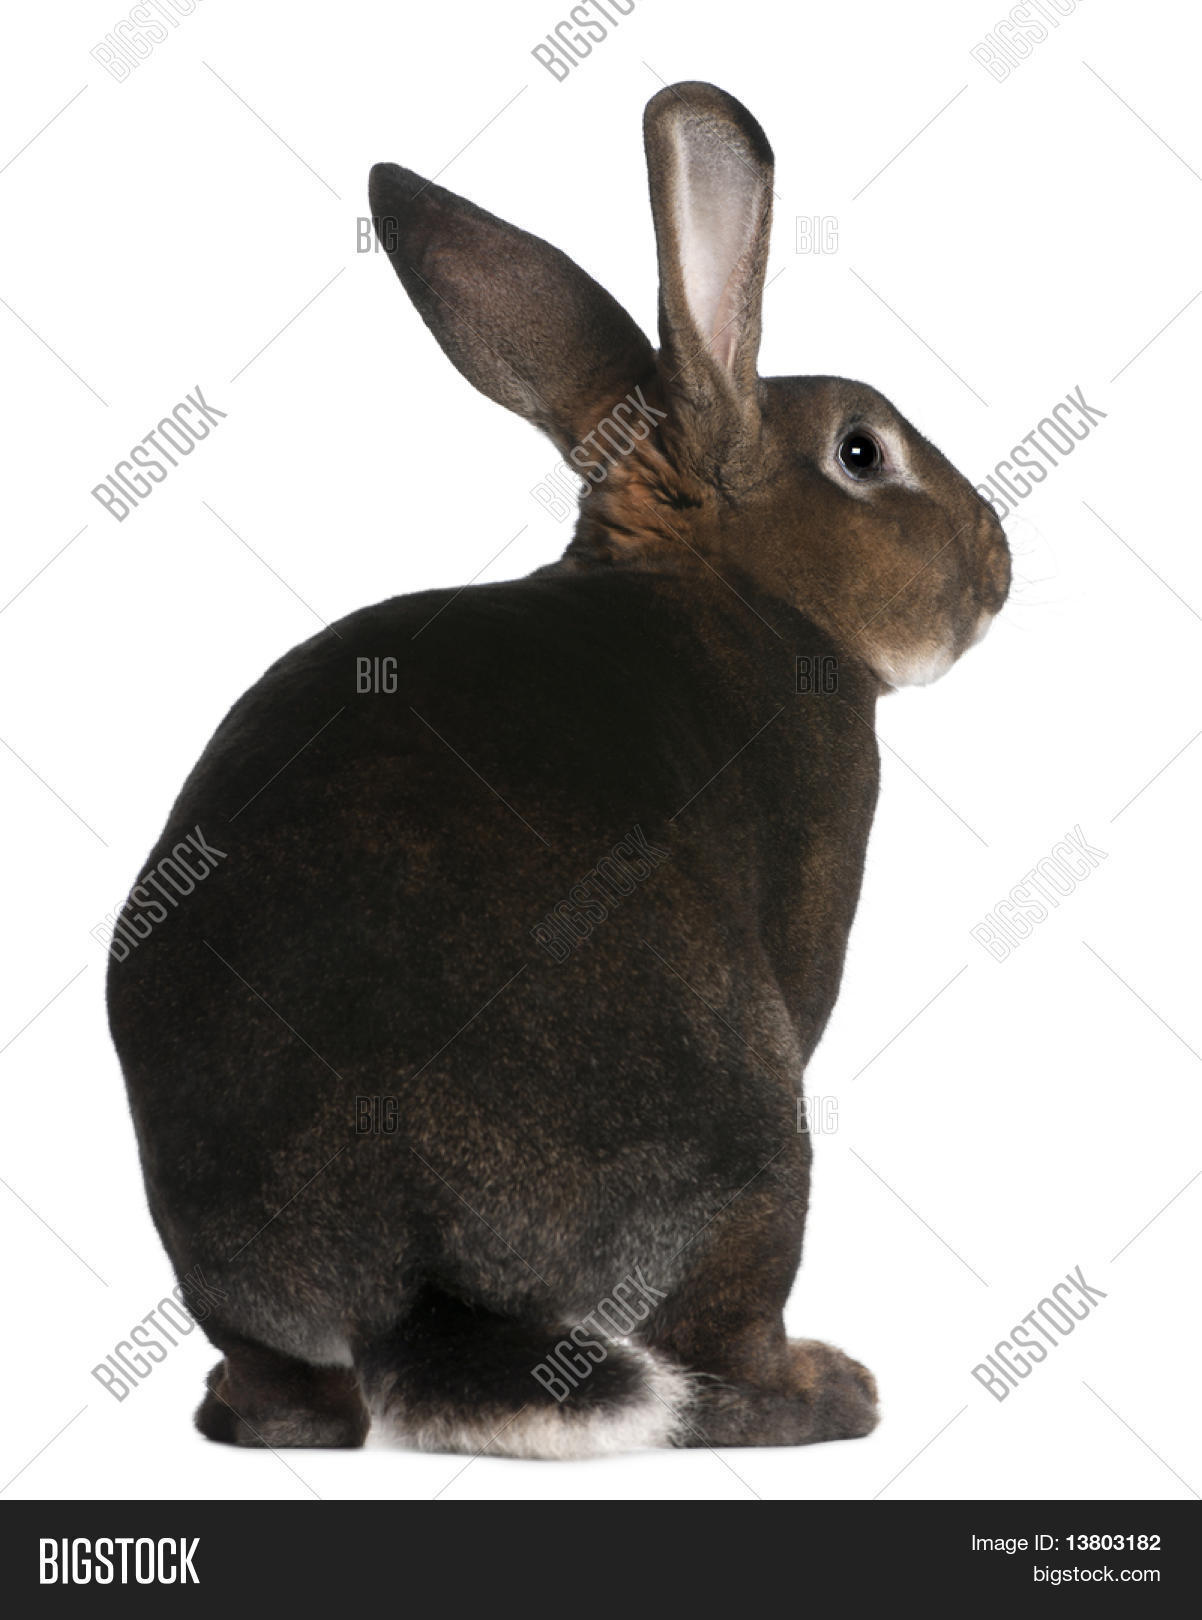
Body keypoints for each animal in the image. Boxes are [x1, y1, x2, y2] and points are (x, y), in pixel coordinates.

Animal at [107, 80, 1009, 1458]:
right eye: (862, 452)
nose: (996, 568)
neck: (723, 575)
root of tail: (413, 1282)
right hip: (756, 1137)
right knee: (718, 1347)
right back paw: (829, 1393)